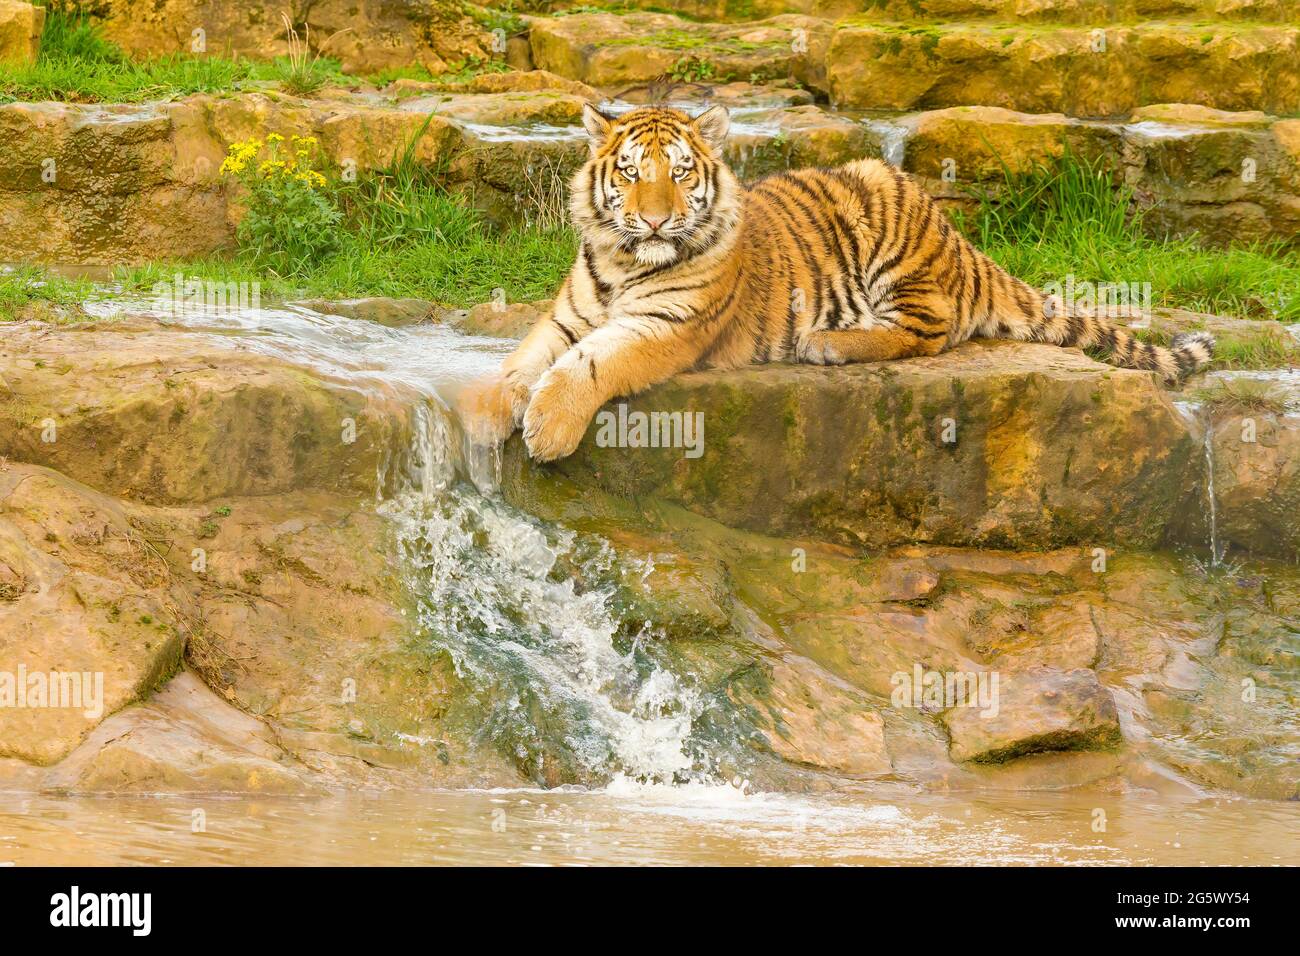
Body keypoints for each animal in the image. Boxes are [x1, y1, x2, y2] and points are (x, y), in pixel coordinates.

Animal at [461, 102, 1214, 462]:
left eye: (678, 172)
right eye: (628, 172)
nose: (652, 220)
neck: (624, 260)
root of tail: (962, 242)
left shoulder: (663, 326)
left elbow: (587, 365)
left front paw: (547, 428)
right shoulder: (565, 318)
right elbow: (523, 361)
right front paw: (484, 413)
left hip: (890, 227)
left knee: (929, 332)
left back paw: (828, 343)